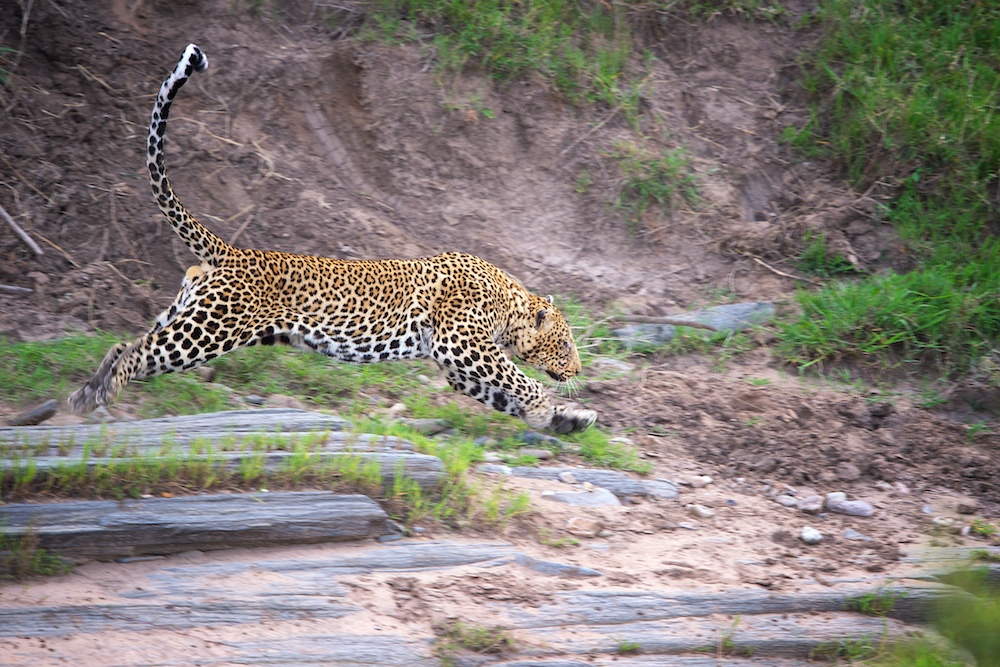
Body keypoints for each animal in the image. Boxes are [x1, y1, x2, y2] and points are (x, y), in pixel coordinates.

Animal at [68, 44, 598, 435]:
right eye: (566, 344)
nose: (576, 371)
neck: (510, 302)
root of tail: (232, 251)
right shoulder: (461, 345)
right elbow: (520, 380)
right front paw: (548, 405)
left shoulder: (457, 363)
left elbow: (501, 394)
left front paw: (564, 418)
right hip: (208, 331)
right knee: (137, 352)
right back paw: (103, 394)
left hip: (187, 314)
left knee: (127, 343)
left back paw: (86, 392)